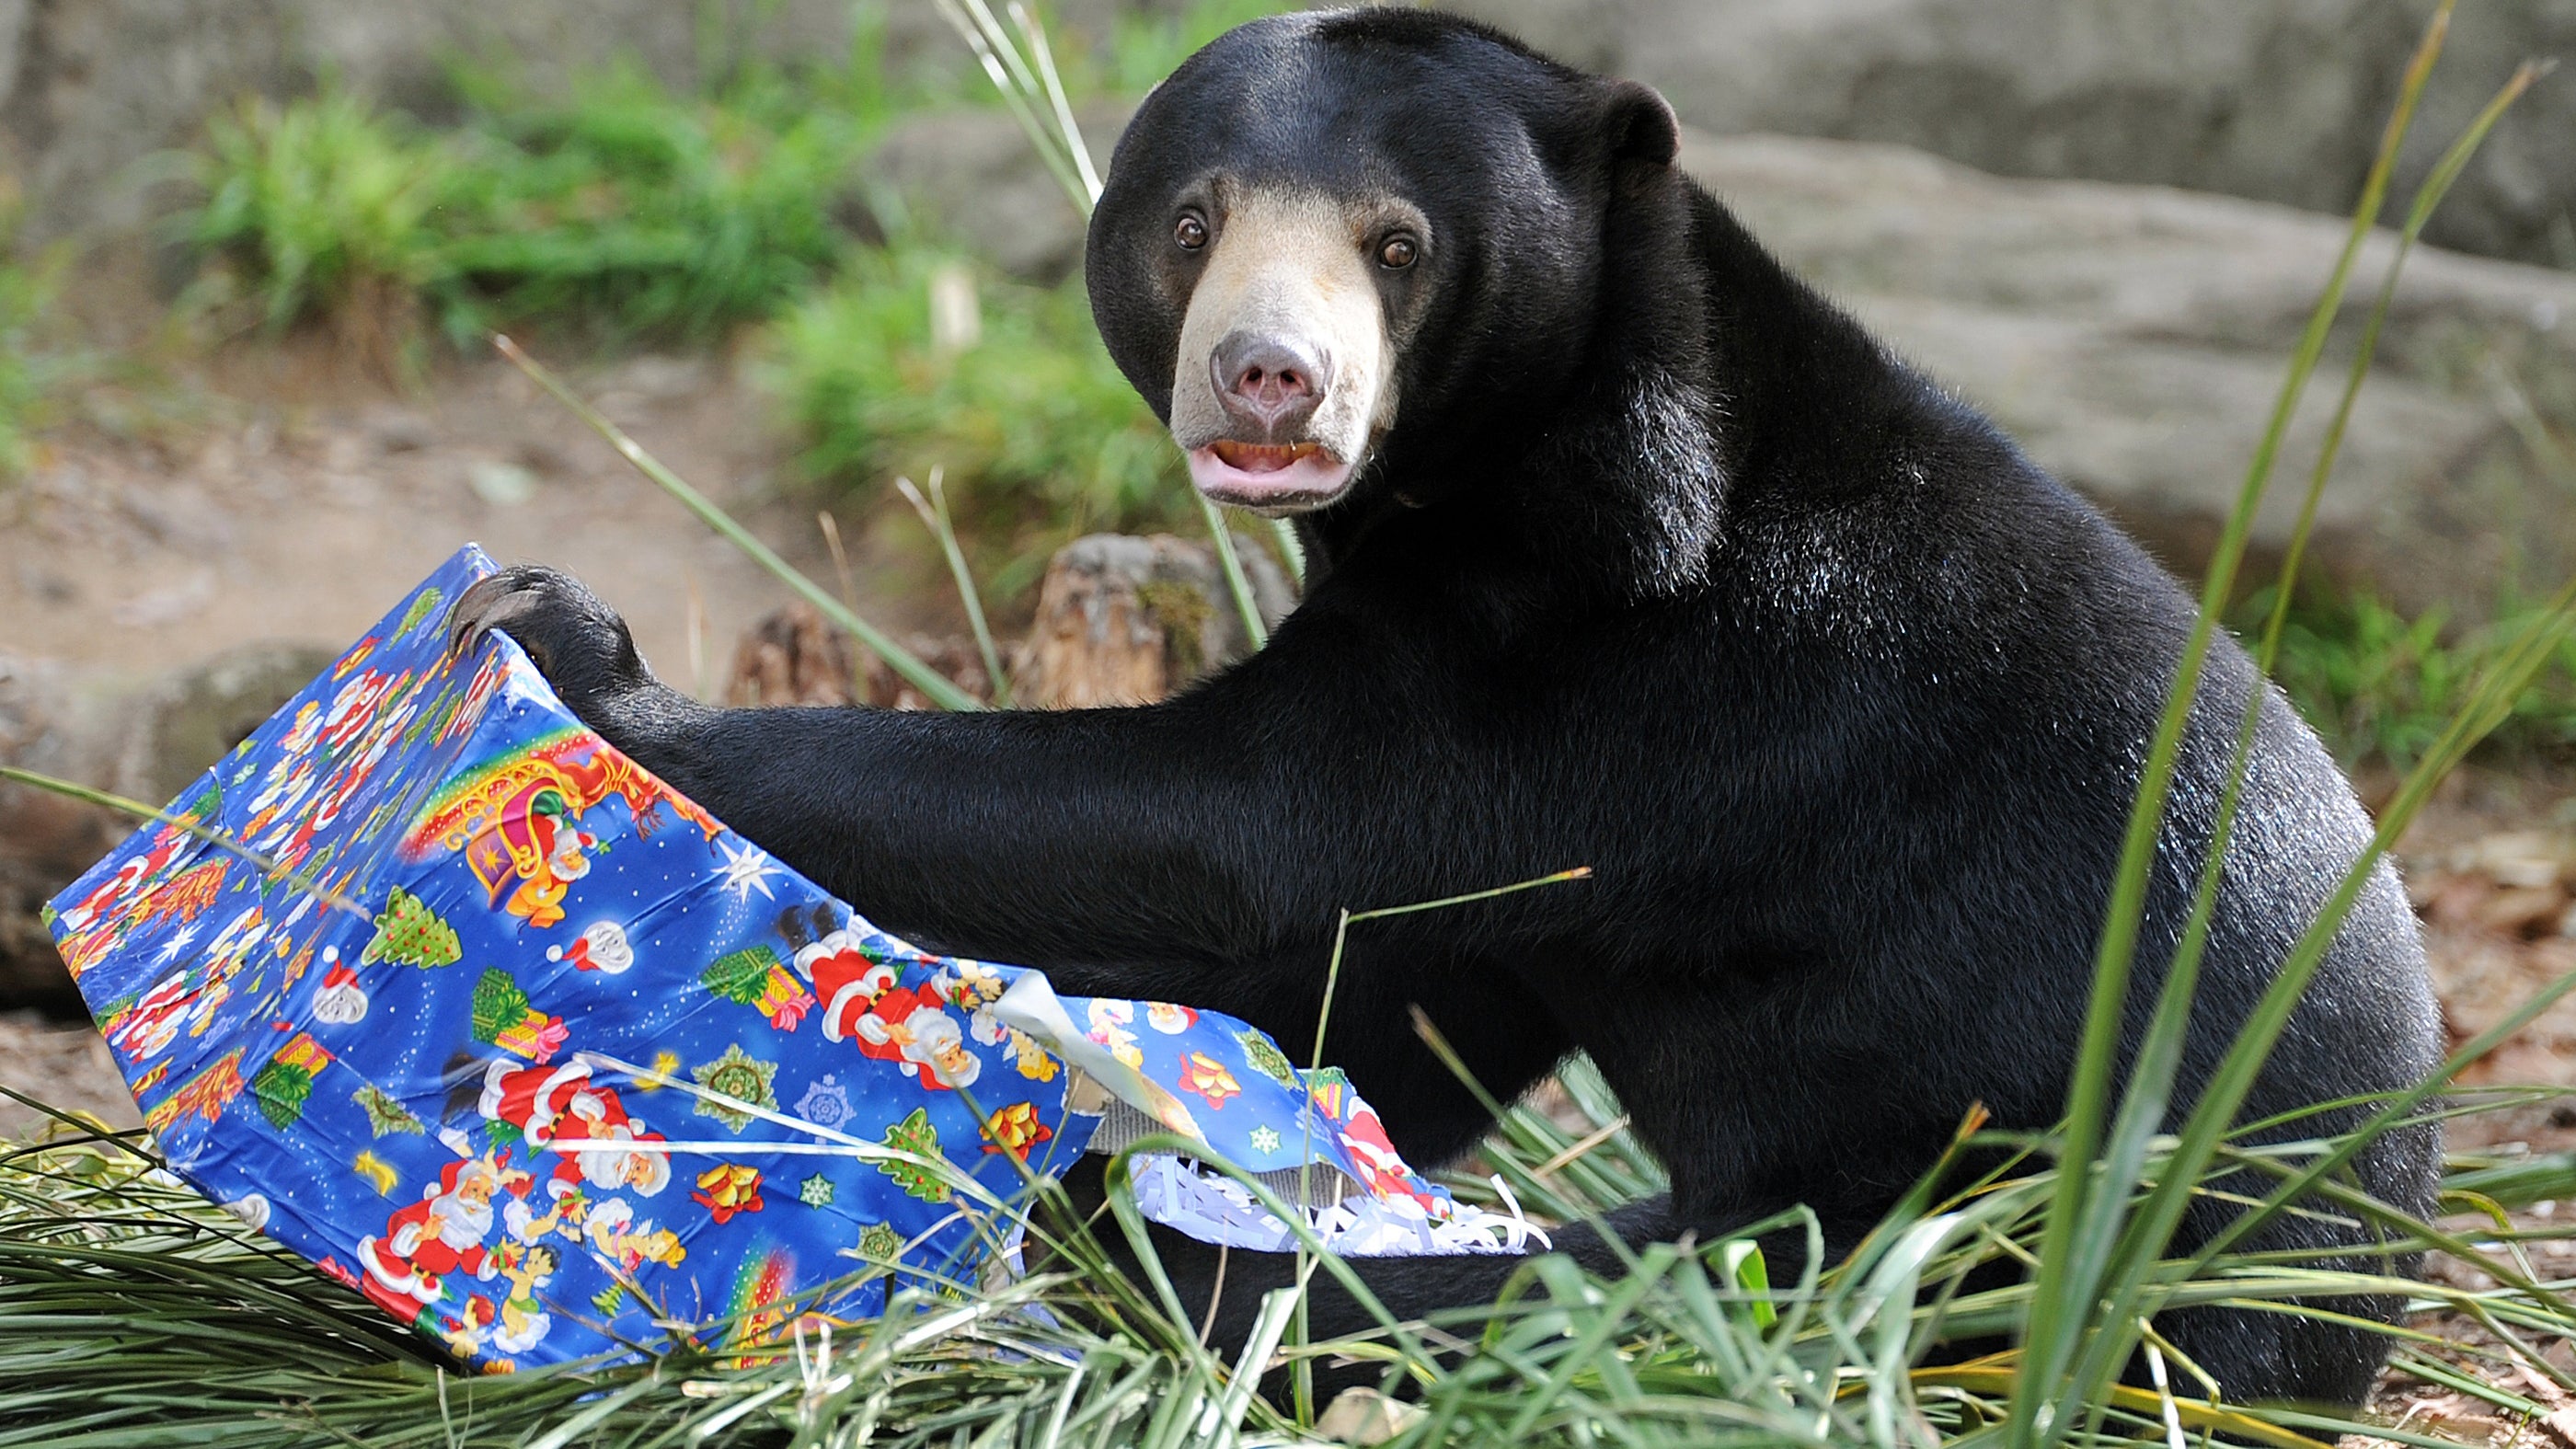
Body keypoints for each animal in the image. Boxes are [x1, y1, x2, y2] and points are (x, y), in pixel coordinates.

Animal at [449, 8, 2442, 1408]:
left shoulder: (1616, 682)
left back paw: (1161, 1256)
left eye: (1394, 245)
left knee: (1542, 1299)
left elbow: (1225, 824)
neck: (1516, 460)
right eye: (1192, 223)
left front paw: (561, 644)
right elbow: (1380, 988)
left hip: (1957, 1201)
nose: (1268, 378)